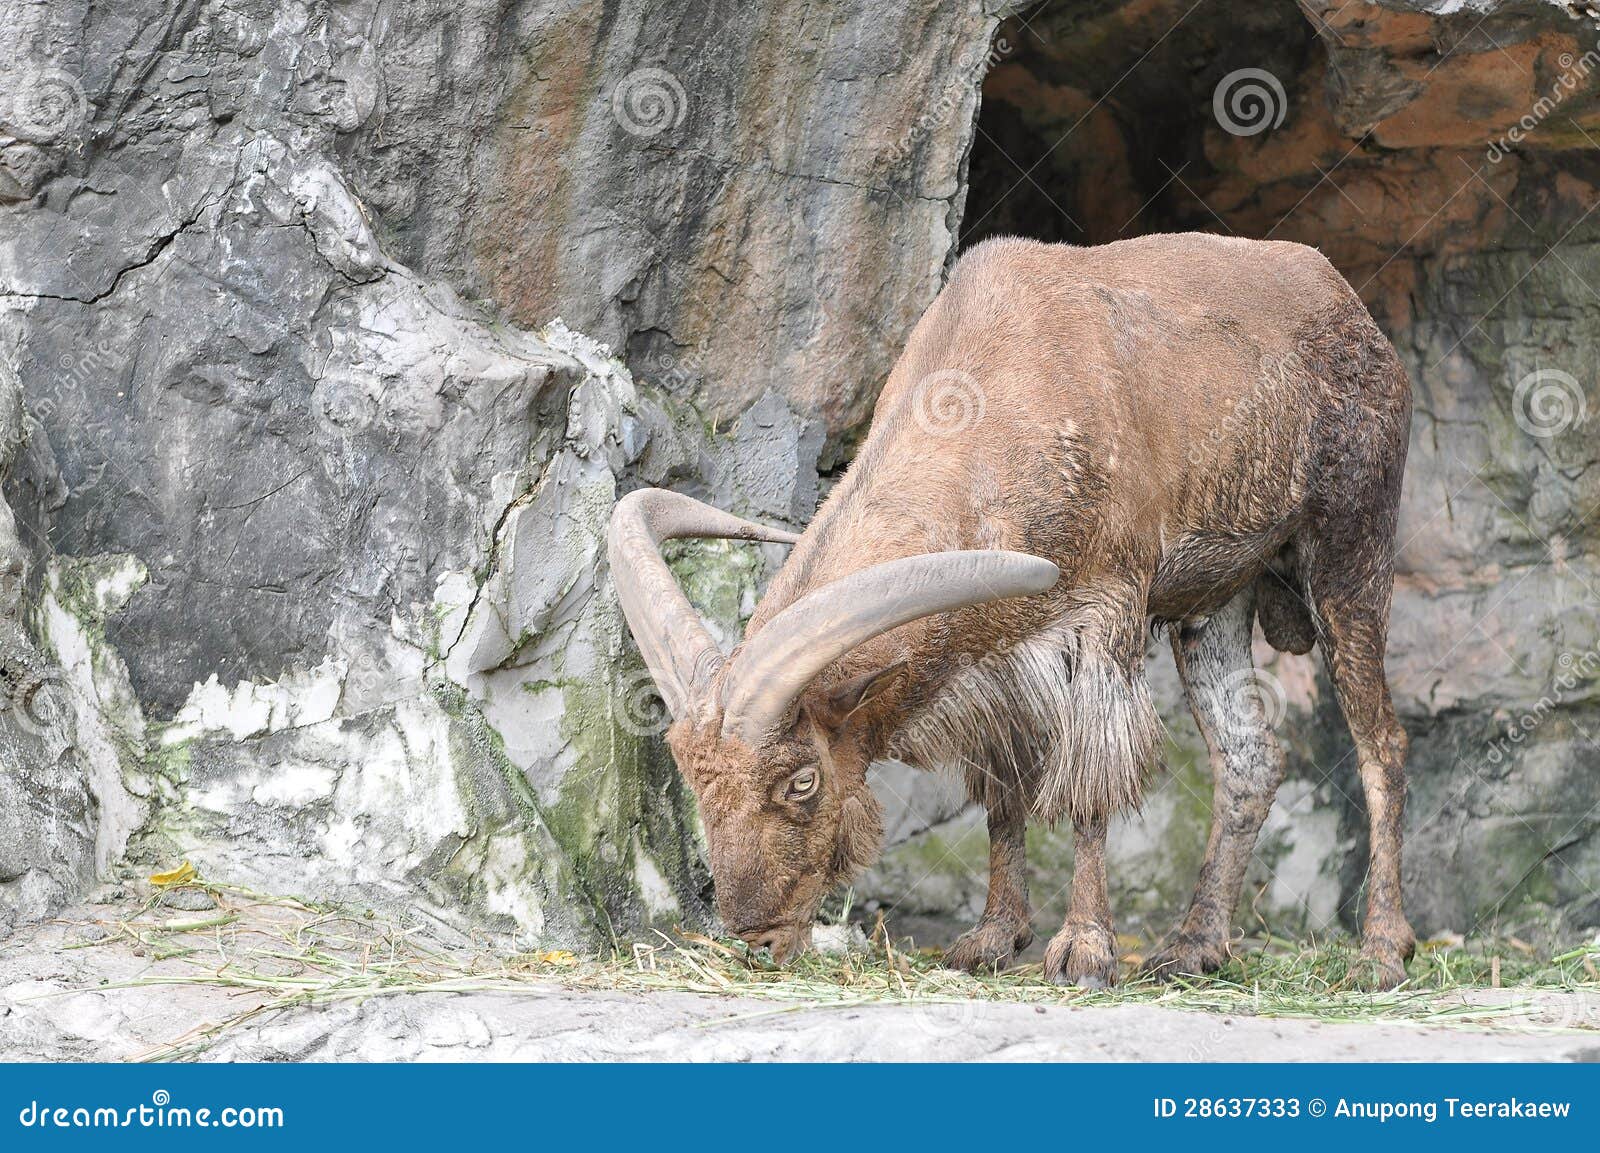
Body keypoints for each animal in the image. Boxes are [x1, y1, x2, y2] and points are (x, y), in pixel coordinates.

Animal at [608, 233, 1414, 989]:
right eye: (692, 777)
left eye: (802, 780)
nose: (756, 936)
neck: (994, 408)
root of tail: (1346, 302)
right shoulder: (992, 658)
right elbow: (1003, 789)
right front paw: (992, 939)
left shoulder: (1107, 610)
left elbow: (1090, 782)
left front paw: (1083, 950)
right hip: (1215, 602)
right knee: (1249, 758)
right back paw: (1192, 948)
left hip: (1350, 550)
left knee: (1382, 744)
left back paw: (1380, 951)